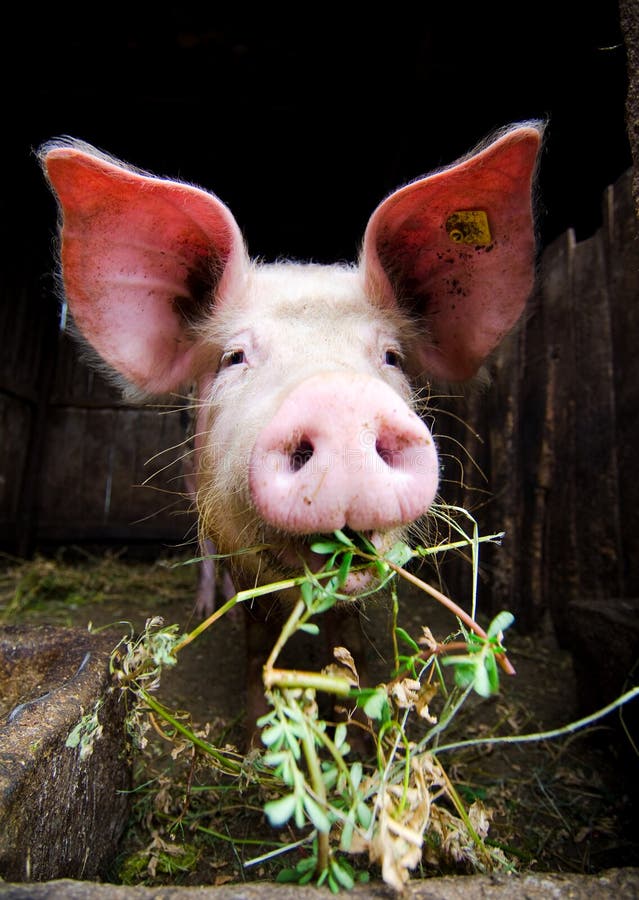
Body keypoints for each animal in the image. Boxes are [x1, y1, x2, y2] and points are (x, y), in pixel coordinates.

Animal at [39, 122, 543, 731]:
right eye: (234, 357)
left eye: (393, 357)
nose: (340, 397)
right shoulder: (237, 542)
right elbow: (257, 636)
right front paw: (259, 734)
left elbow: (347, 641)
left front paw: (356, 725)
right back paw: (206, 607)